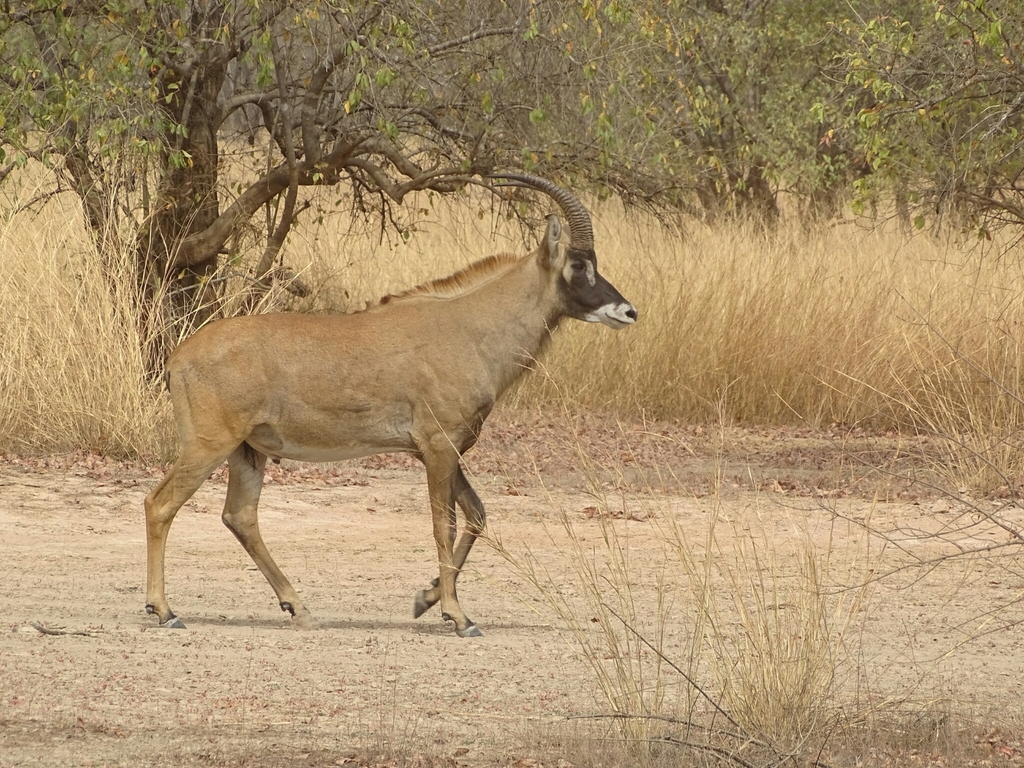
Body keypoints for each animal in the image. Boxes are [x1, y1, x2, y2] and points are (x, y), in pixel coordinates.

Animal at [144, 173, 637, 637]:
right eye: (578, 263)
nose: (627, 312)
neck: (468, 327)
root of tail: (178, 357)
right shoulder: (439, 447)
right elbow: (444, 524)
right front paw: (459, 616)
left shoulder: (439, 449)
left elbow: (477, 515)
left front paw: (426, 599)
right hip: (208, 444)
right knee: (160, 504)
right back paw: (164, 611)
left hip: (248, 452)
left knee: (240, 516)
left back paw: (297, 608)